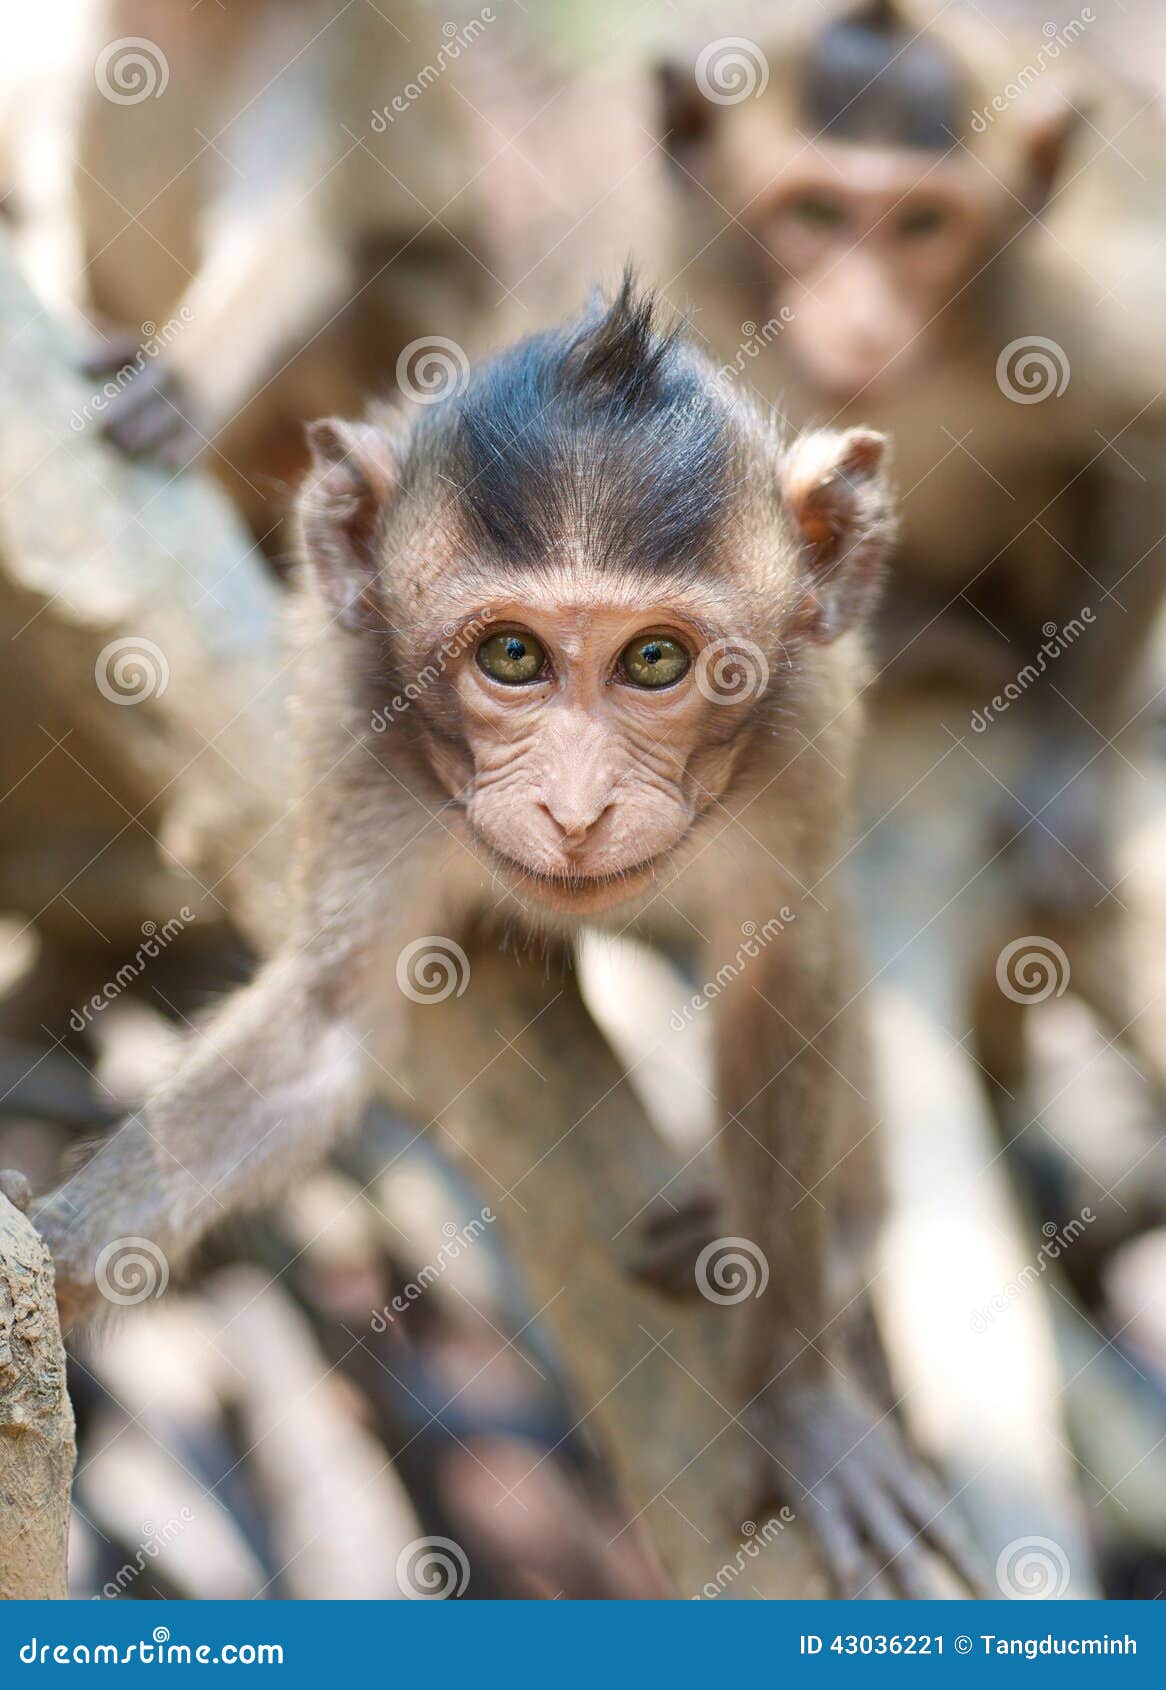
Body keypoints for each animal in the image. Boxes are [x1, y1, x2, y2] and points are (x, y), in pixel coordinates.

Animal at [23, 280, 982, 1598]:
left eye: (654, 659)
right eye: (512, 655)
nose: (575, 808)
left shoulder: (801, 732)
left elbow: (780, 983)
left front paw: (802, 1408)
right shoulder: (356, 724)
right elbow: (326, 1027)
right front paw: (59, 1254)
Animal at [655, 0, 1166, 922]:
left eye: (923, 224)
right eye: (816, 214)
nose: (862, 321)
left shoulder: (1059, 304)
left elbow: (1142, 437)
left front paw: (1070, 774)